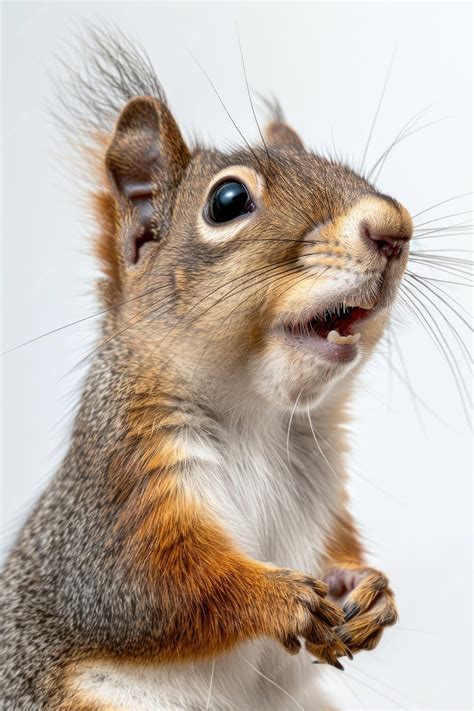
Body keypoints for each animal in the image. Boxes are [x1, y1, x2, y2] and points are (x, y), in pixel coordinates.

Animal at [1, 29, 413, 711]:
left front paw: (372, 589)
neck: (262, 421)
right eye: (228, 201)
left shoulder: (326, 502)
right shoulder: (114, 505)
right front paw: (278, 598)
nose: (394, 228)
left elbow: (340, 557)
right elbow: (148, 590)